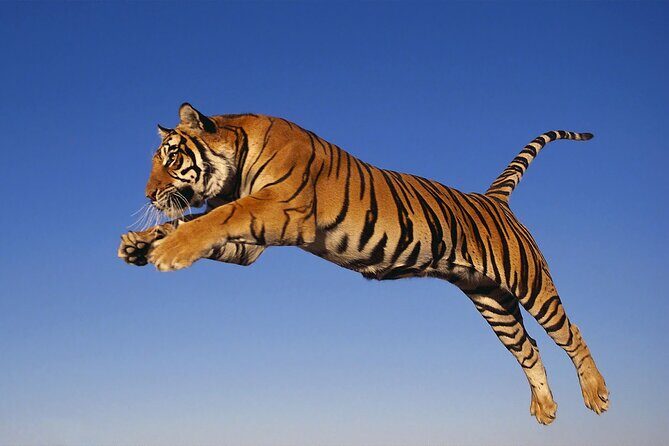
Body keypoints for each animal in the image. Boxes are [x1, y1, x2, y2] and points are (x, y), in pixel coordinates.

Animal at [118, 103, 609, 424]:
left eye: (172, 158)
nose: (148, 194)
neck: (237, 165)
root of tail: (493, 199)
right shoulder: (251, 246)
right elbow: (192, 221)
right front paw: (138, 244)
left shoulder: (278, 209)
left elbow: (213, 218)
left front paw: (168, 251)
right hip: (491, 300)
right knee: (528, 348)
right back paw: (545, 409)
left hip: (530, 282)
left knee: (570, 332)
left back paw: (596, 393)